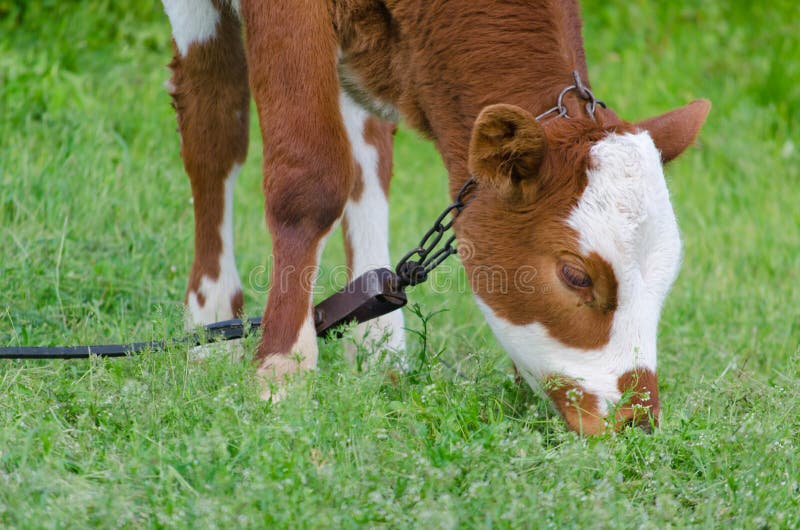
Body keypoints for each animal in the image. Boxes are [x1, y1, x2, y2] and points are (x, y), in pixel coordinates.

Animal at [160, 0, 709, 434]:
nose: (636, 420)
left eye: (667, 276)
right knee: (212, 122)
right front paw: (280, 374)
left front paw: (380, 355)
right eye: (576, 275)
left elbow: (368, 158)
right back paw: (210, 323)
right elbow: (308, 175)